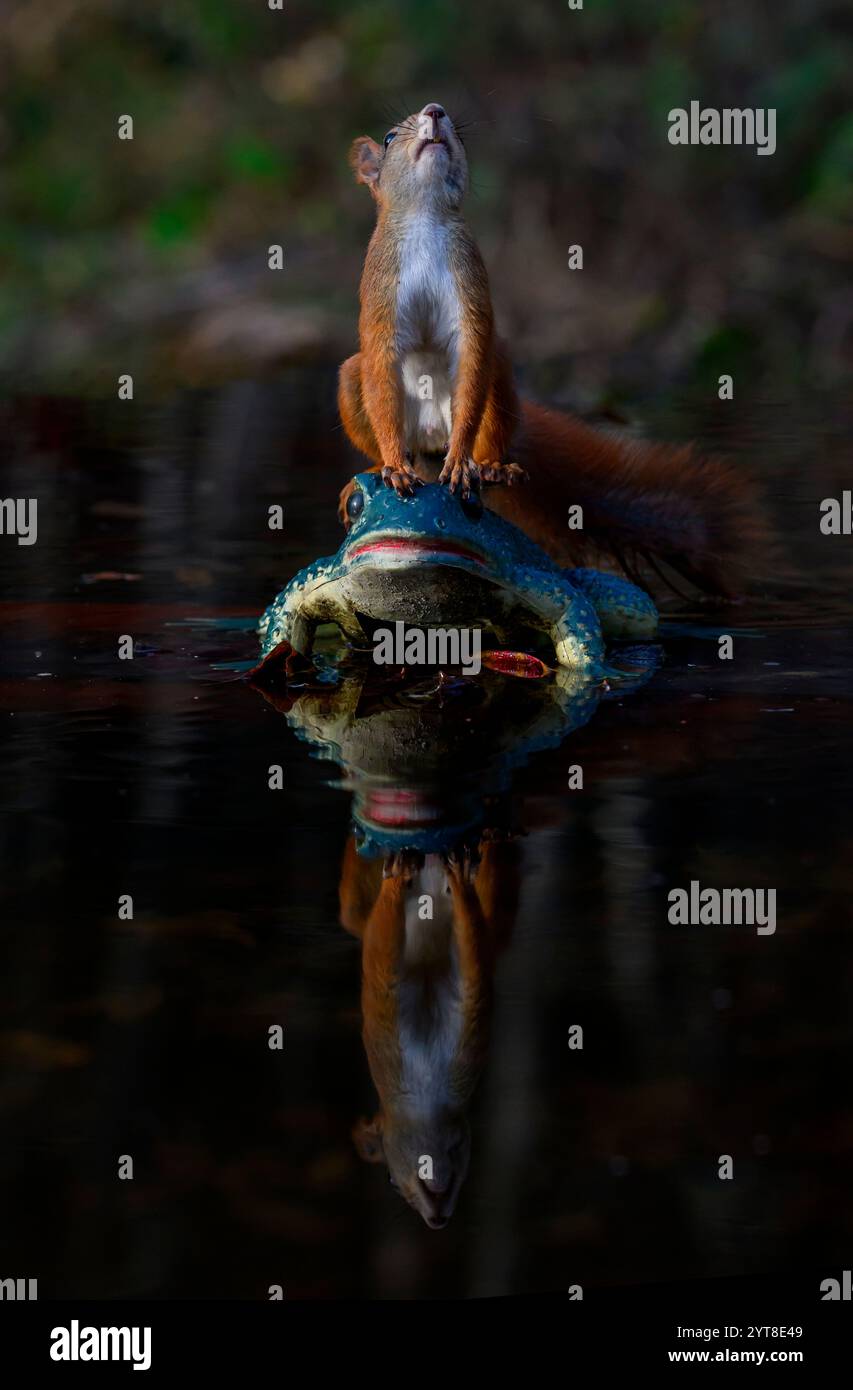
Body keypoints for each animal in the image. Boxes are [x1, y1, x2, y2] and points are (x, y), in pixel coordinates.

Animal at [337, 102, 765, 598]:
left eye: (460, 133)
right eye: (389, 138)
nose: (435, 111)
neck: (425, 221)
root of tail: (429, 441)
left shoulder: (470, 286)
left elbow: (473, 352)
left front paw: (462, 460)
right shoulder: (380, 296)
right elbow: (381, 362)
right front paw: (392, 466)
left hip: (499, 384)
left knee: (488, 416)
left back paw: (489, 466)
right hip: (354, 382)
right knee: (366, 389)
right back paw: (386, 467)